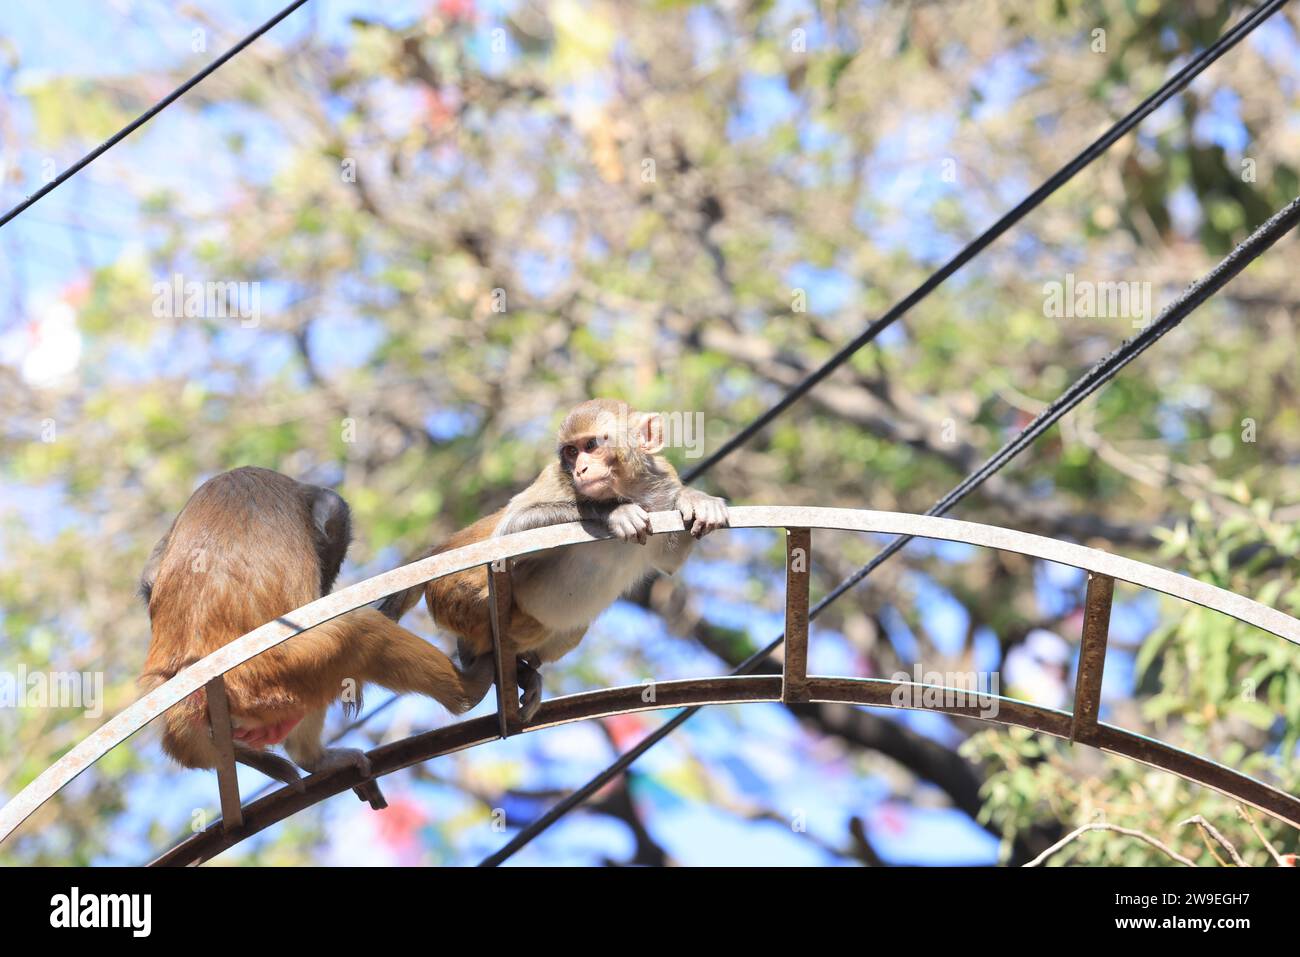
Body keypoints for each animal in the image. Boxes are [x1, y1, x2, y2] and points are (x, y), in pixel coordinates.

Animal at [138, 467, 495, 791]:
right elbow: (332, 514)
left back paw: (314, 760)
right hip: (268, 679)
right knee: (360, 632)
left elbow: (148, 578)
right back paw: (468, 691)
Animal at [379, 399, 729, 721]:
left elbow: (670, 561)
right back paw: (474, 656)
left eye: (591, 446)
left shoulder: (661, 481)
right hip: (456, 597)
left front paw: (694, 498)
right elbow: (511, 531)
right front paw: (615, 511)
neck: (628, 487)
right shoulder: (555, 479)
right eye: (571, 452)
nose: (581, 470)